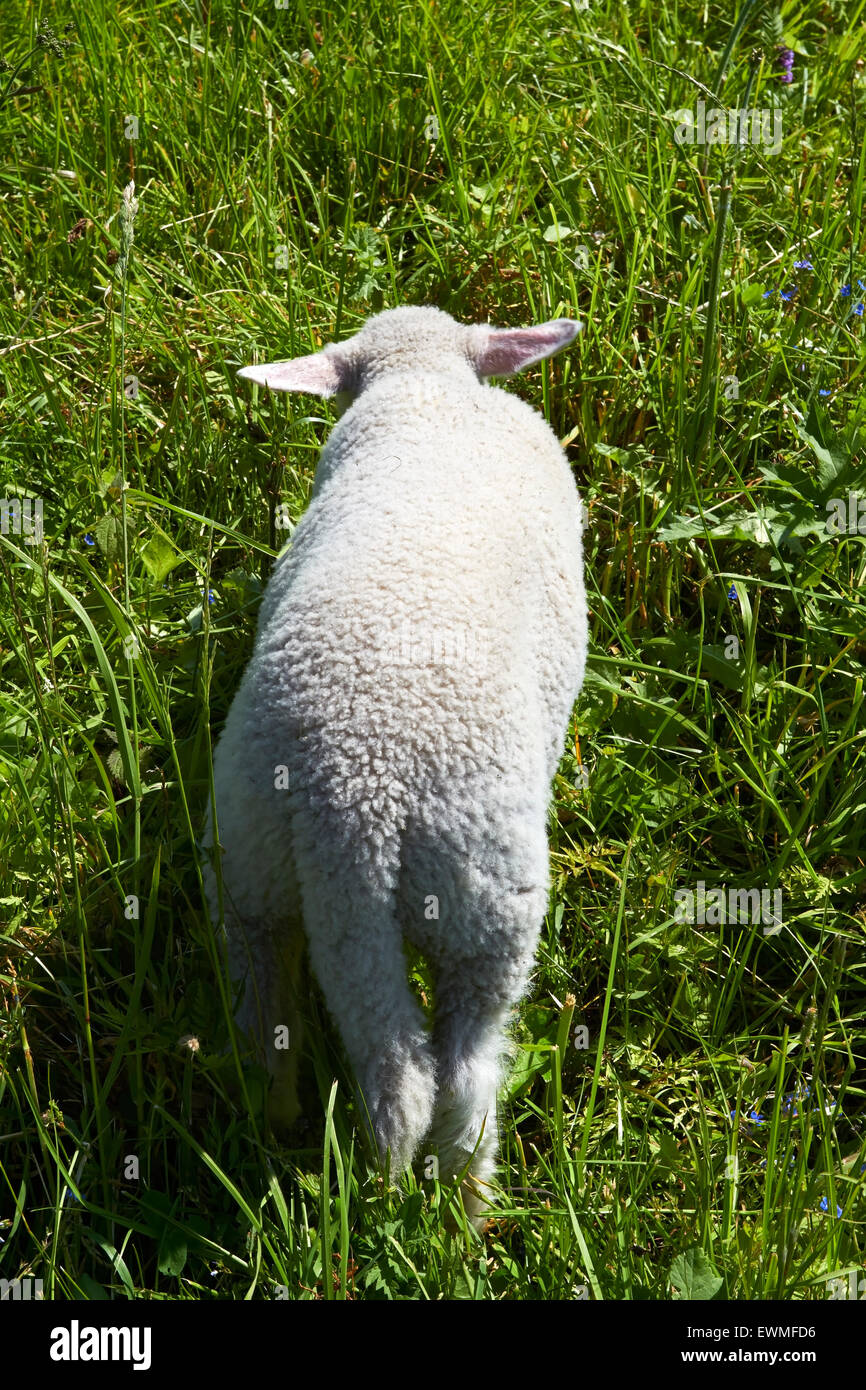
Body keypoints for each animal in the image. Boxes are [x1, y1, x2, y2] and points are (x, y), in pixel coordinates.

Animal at [203, 305, 587, 1225]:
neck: (423, 384)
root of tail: (356, 797)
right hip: (488, 908)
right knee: (452, 1074)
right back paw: (456, 1207)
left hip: (249, 863)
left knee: (269, 1019)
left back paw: (280, 1122)